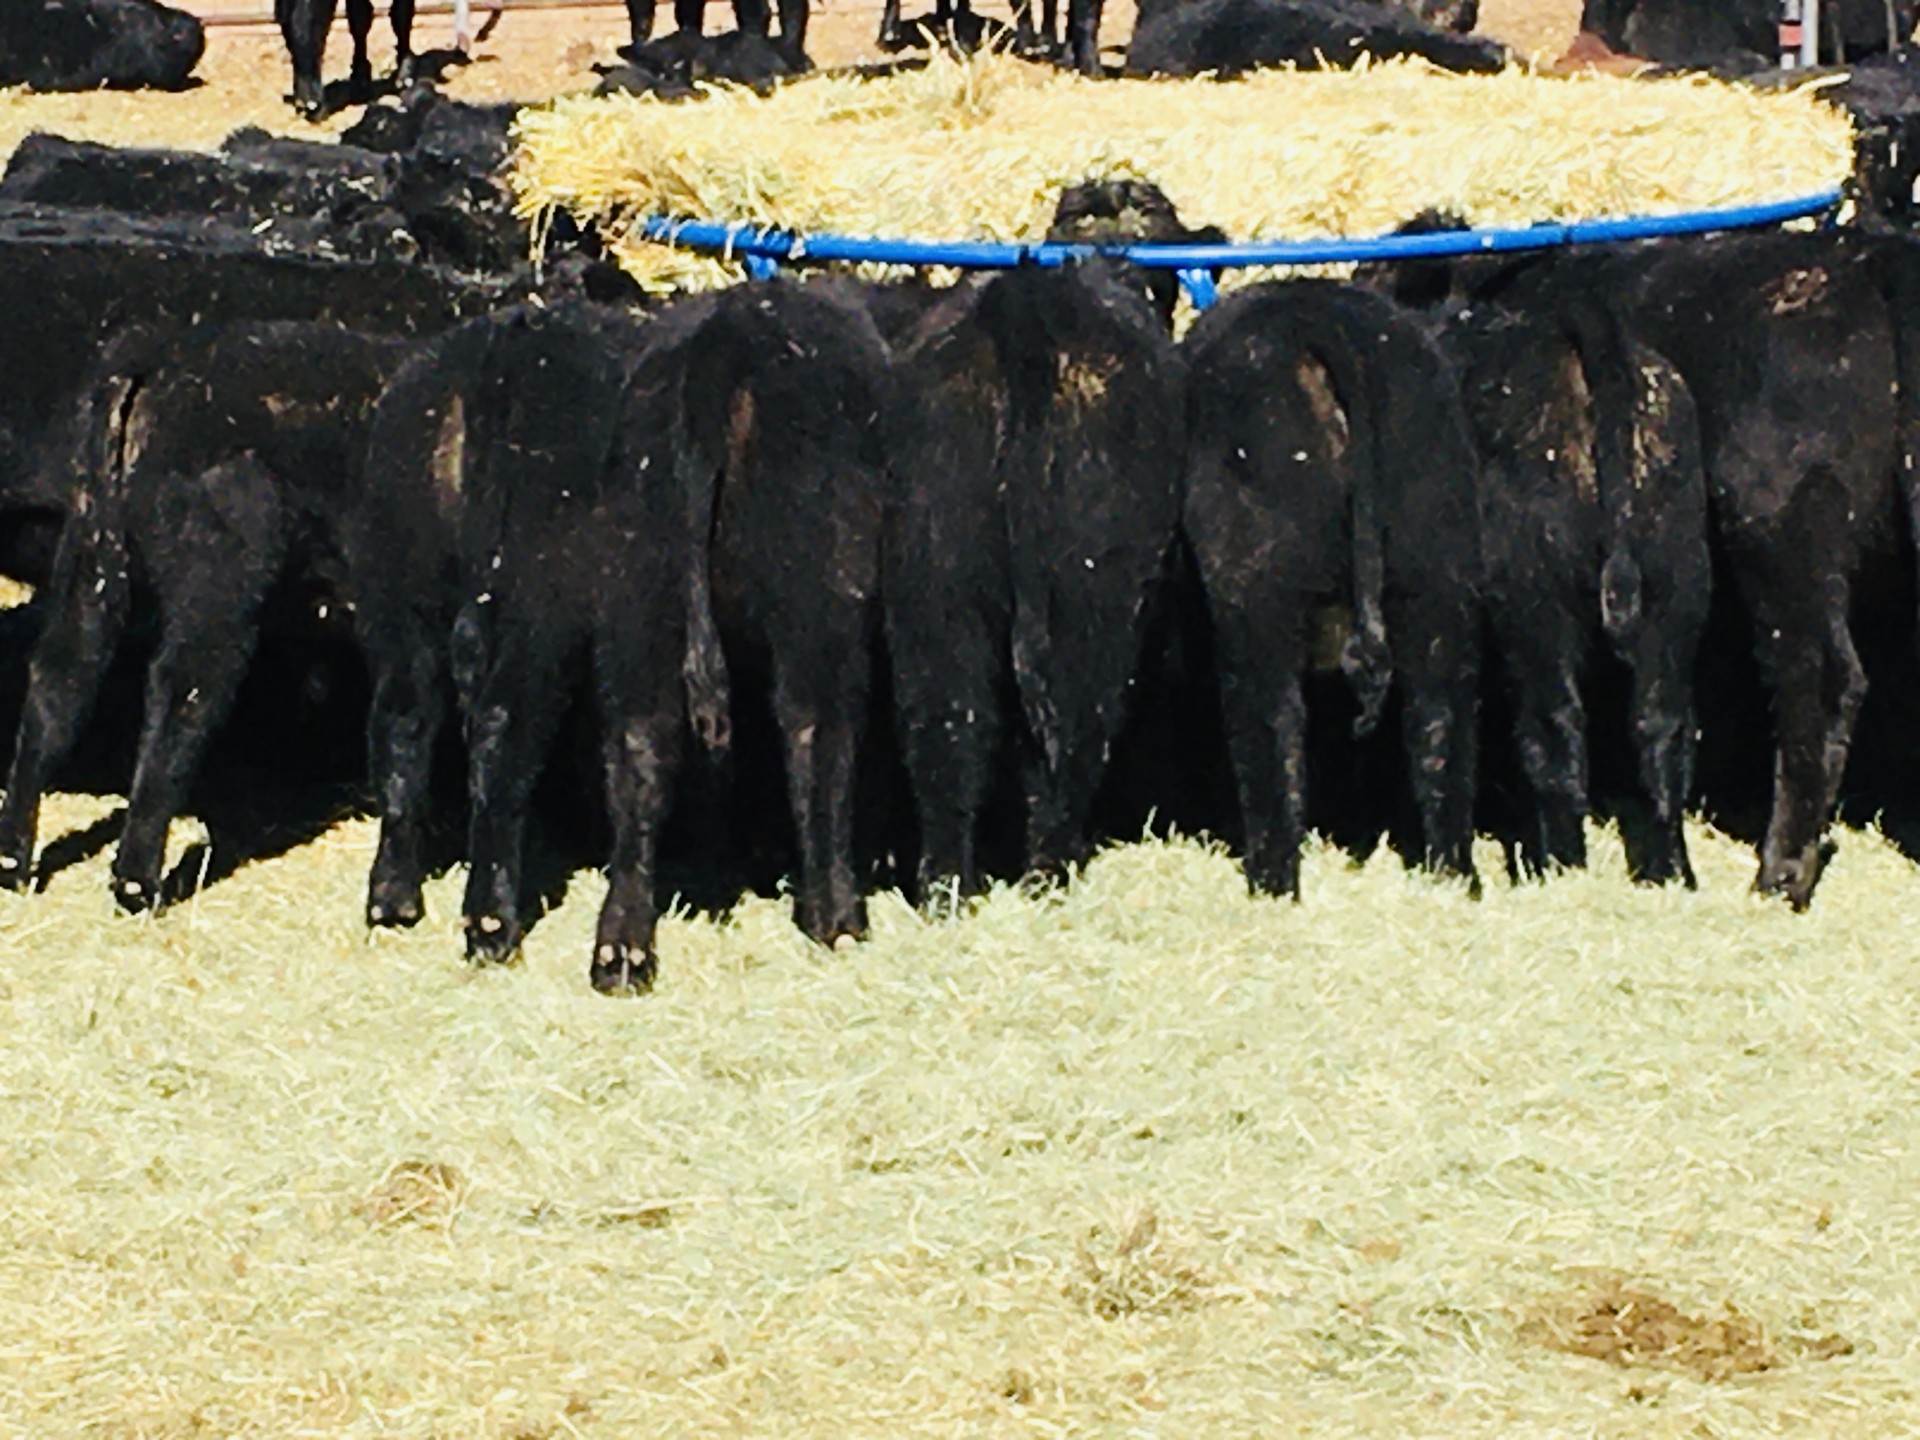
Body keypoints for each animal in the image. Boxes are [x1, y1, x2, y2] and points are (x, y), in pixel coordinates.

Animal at [0, 322, 412, 911]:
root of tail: (161, 353)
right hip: (215, 591)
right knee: (183, 694)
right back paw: (137, 880)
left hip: (91, 558)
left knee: (60, 679)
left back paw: (14, 860)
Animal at [275, 0, 416, 119]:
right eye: (284, 26)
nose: (308, 105)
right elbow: (360, 18)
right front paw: (360, 76)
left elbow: (401, 15)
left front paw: (405, 72)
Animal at [1182, 280, 1483, 898]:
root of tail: (1328, 321)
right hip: (1438, 579)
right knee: (1441, 722)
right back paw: (1453, 876)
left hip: (1256, 597)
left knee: (1270, 725)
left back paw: (1272, 882)